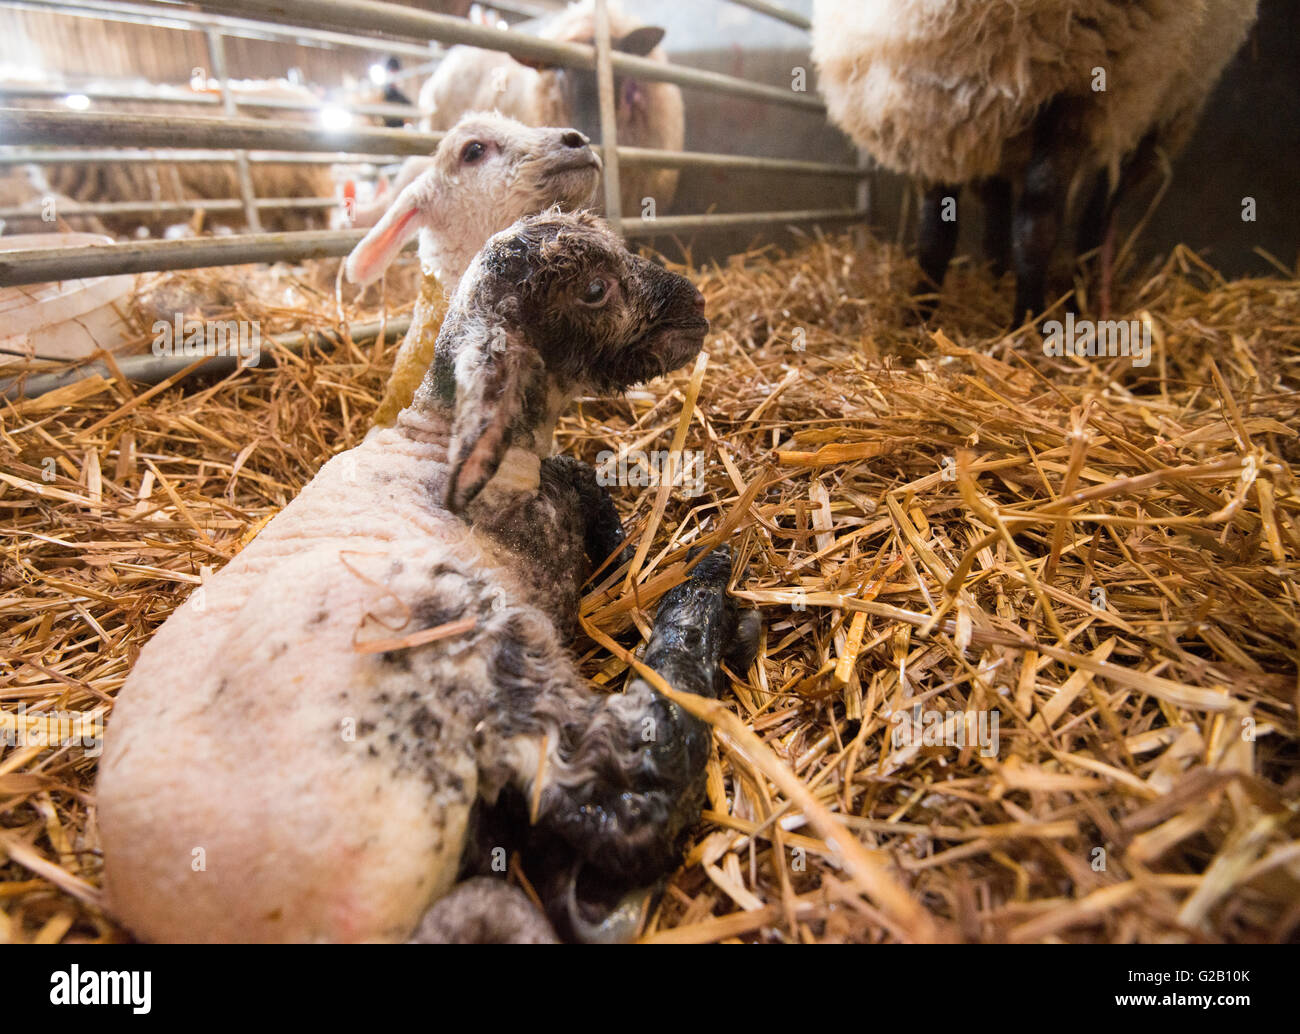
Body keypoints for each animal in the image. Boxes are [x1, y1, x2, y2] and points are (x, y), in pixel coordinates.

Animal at [95, 210, 760, 944]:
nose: (696, 305)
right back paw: (705, 599)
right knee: (632, 796)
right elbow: (595, 505)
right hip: (452, 633)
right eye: (594, 288)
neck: (438, 437)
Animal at [811, 0, 1259, 320]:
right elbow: (935, 231)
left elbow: (1036, 227)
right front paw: (917, 315)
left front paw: (1026, 324)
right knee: (997, 201)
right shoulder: (928, 107)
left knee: (1102, 207)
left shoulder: (1075, 98)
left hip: (1156, 110)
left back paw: (1084, 287)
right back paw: (996, 275)